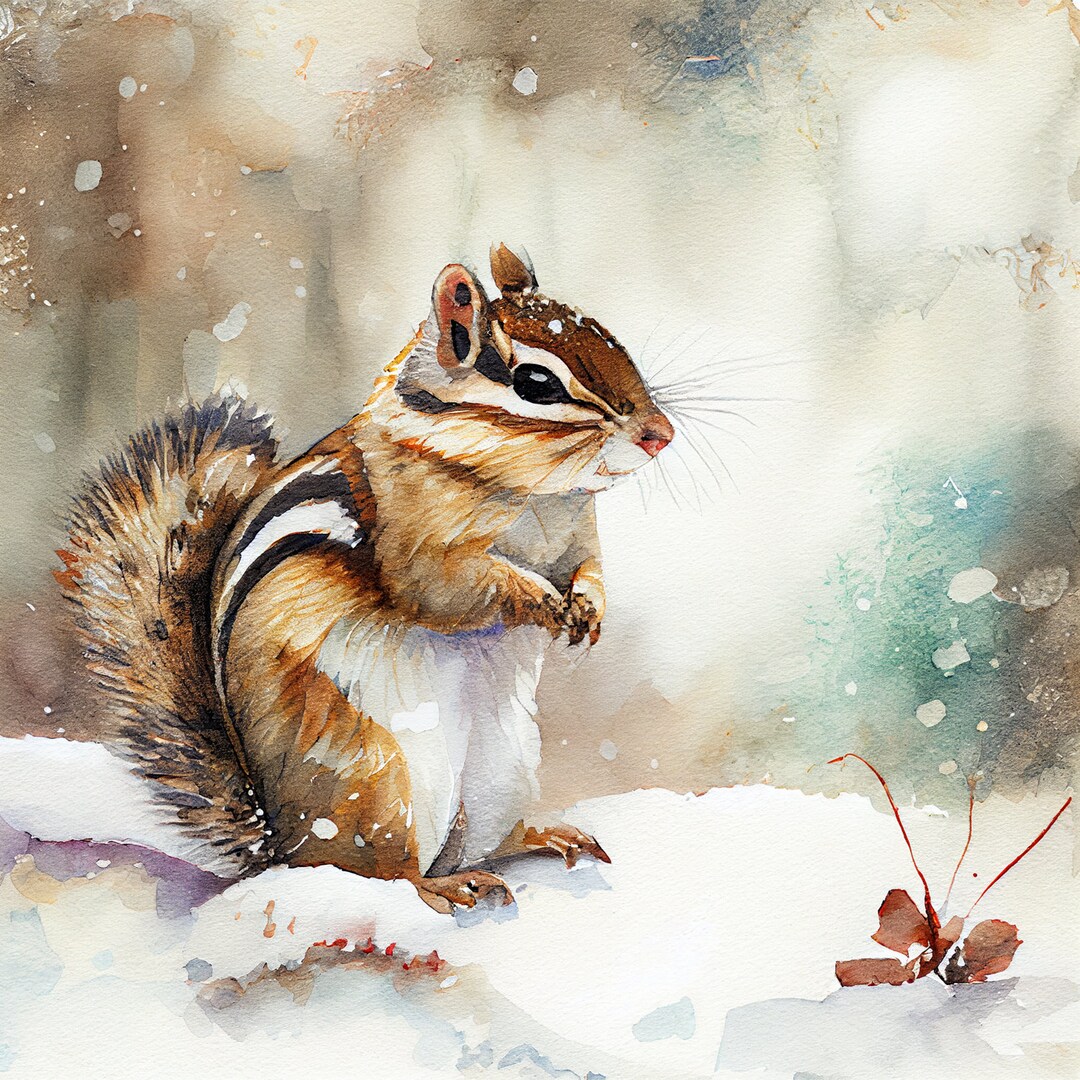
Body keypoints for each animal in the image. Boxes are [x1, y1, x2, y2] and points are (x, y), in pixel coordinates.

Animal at [55, 244, 674, 915]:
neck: (538, 497)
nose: (660, 434)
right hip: (374, 775)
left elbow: (590, 573)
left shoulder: (578, 538)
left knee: (484, 840)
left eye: (608, 336)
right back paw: (443, 887)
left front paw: (587, 609)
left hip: (503, 769)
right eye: (538, 383)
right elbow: (449, 589)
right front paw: (538, 598)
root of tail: (274, 838)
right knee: (384, 870)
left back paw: (541, 835)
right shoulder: (416, 543)